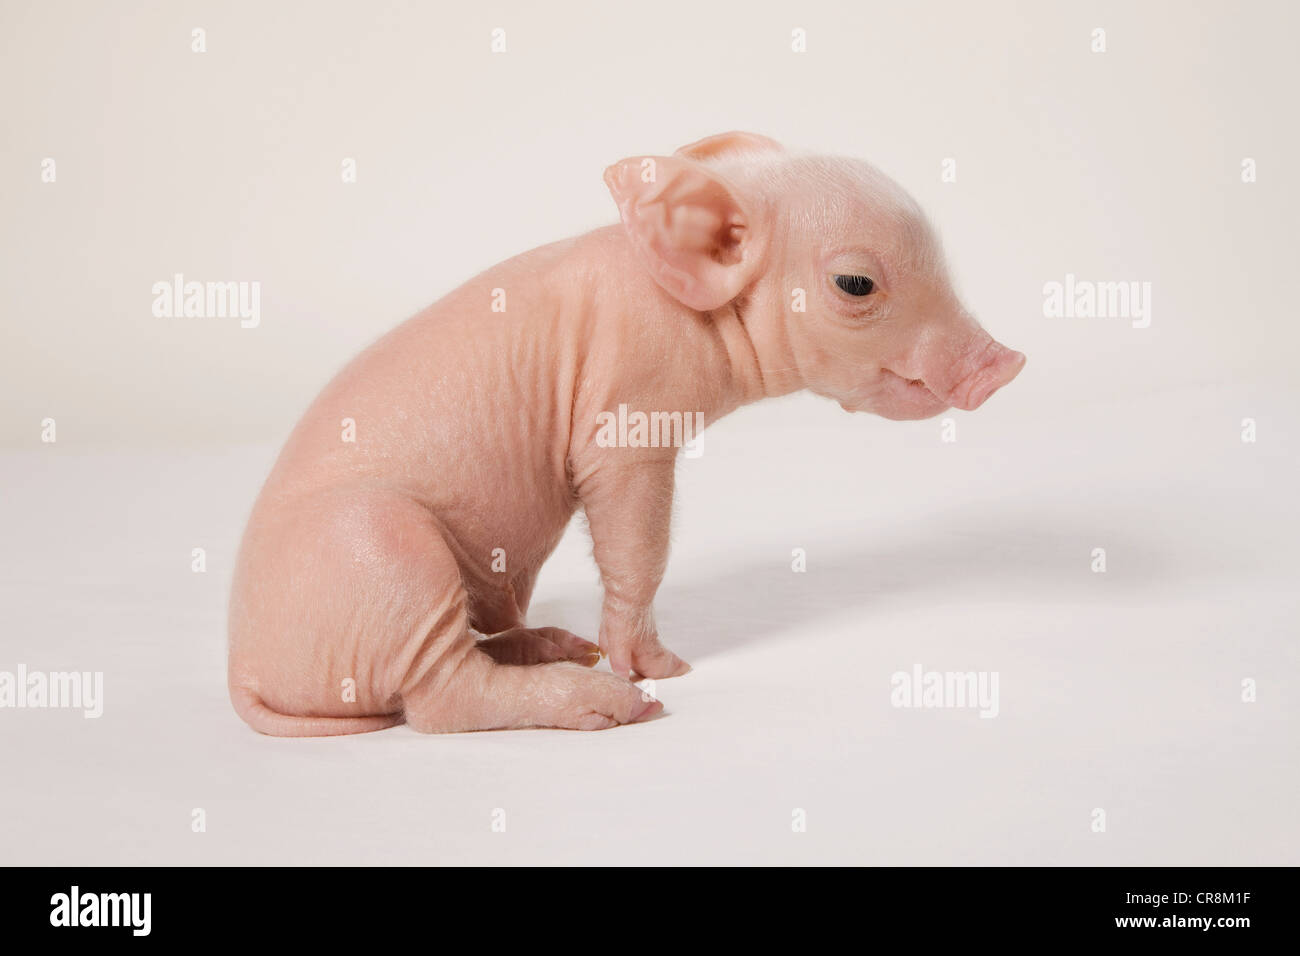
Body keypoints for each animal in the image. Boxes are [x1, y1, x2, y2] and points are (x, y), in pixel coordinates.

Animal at [227, 131, 1026, 736]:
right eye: (855, 284)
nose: (1007, 364)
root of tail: (243, 671)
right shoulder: (626, 416)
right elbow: (637, 541)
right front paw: (663, 668)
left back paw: (562, 645)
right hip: (377, 553)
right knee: (439, 698)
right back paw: (616, 701)